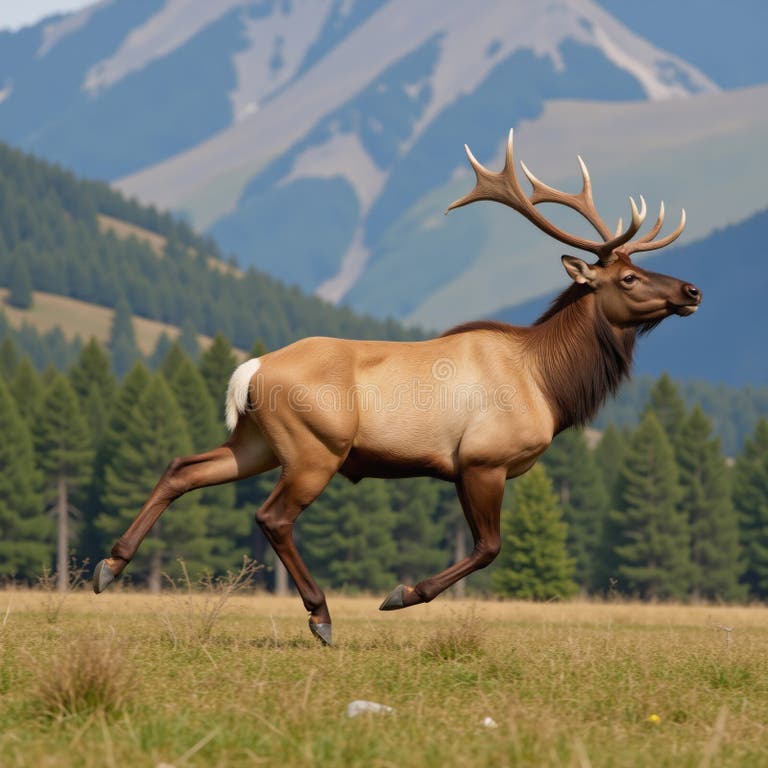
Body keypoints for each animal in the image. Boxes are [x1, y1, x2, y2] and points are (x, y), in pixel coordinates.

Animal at [93, 129, 700, 645]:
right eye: (628, 278)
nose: (691, 290)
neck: (548, 386)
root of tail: (252, 370)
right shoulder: (483, 459)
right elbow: (489, 548)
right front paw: (402, 593)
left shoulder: (464, 466)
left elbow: (485, 546)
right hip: (316, 447)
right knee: (272, 516)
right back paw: (321, 615)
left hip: (257, 442)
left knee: (183, 467)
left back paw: (109, 565)